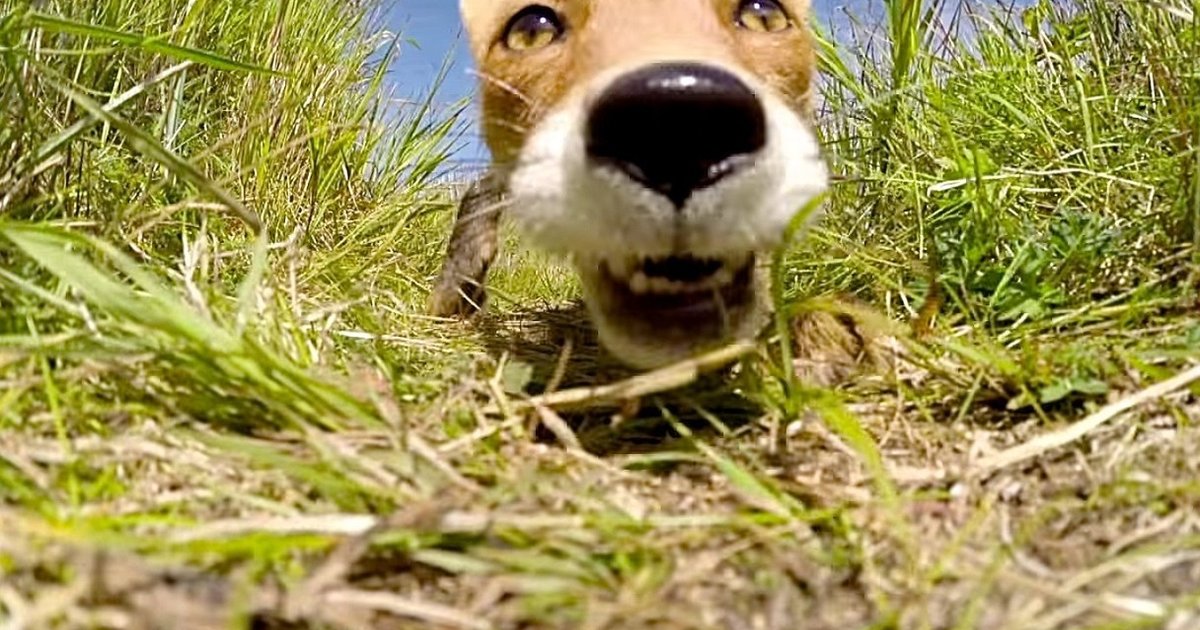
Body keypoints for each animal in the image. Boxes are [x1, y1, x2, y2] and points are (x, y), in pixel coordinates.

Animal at [431, 0, 887, 377]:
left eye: (764, 15)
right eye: (531, 29)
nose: (676, 119)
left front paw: (826, 327)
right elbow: (483, 187)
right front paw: (458, 281)